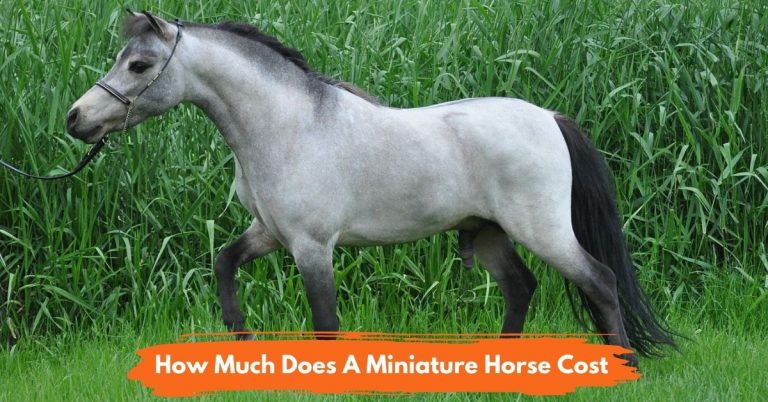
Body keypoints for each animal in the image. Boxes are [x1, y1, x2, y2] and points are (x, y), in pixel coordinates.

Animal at [66, 11, 676, 367]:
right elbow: (224, 261)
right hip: (489, 234)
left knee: (599, 281)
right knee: (521, 287)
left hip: (542, 229)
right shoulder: (270, 233)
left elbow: (326, 323)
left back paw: (624, 365)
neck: (287, 125)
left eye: (139, 64)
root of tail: (549, 117)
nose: (77, 119)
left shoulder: (312, 247)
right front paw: (240, 335)